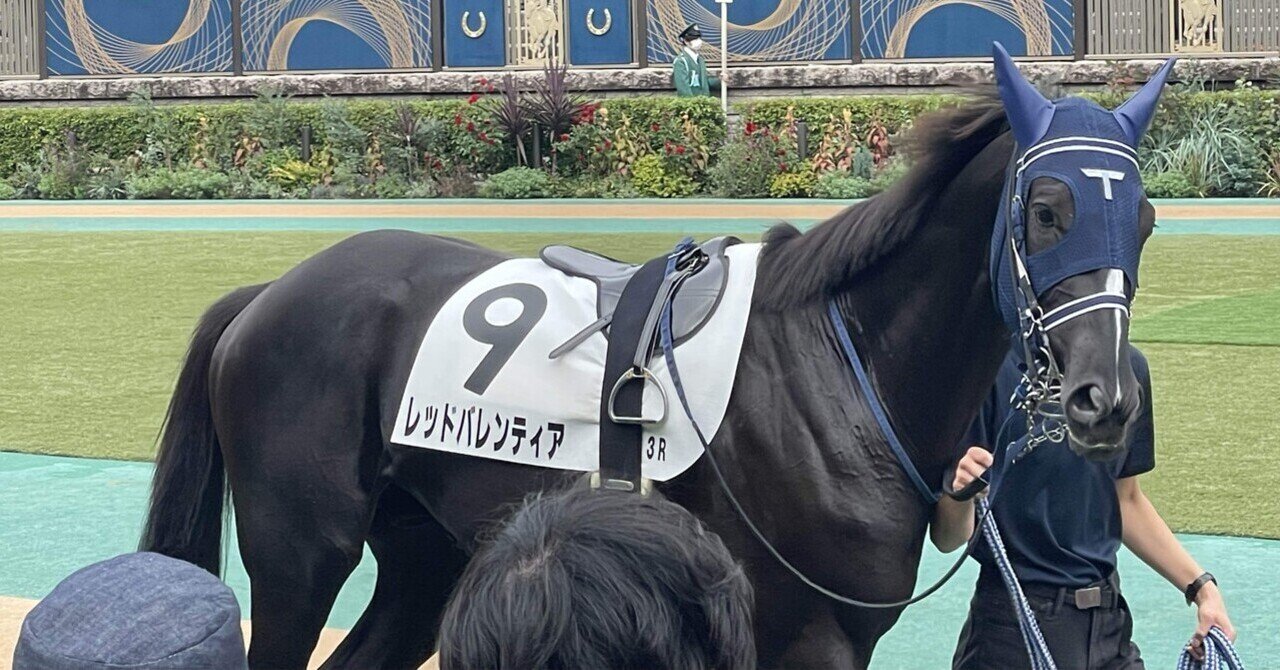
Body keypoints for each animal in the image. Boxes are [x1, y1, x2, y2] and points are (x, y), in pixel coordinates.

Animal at [140, 47, 1172, 669]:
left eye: (1146, 216)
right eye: (1048, 209)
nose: (1105, 400)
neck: (846, 366)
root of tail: (264, 297)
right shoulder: (808, 632)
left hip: (423, 552)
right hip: (298, 553)